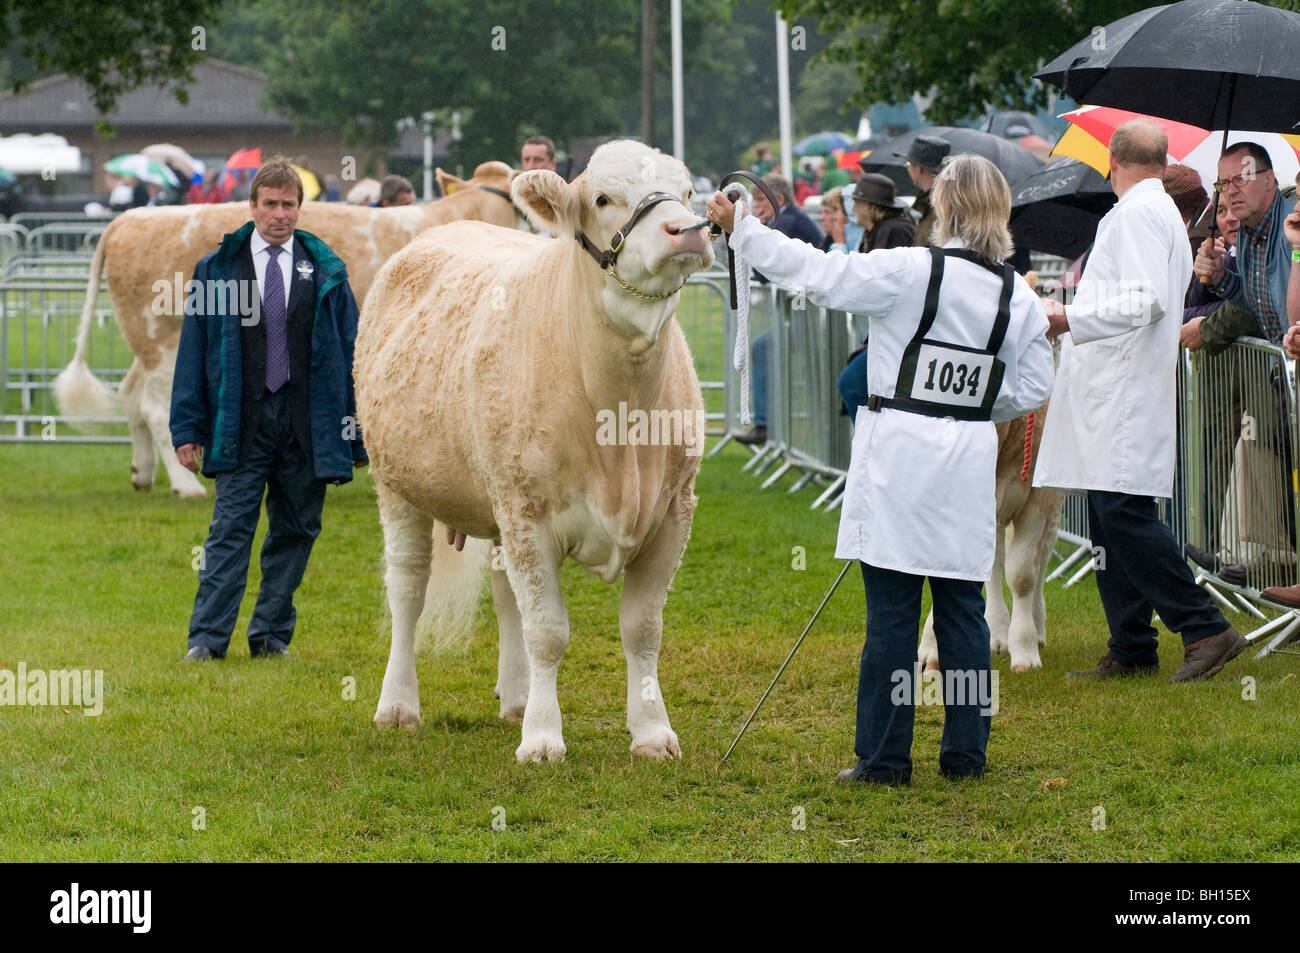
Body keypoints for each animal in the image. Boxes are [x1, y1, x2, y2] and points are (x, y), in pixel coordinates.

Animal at [53, 162, 518, 499]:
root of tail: (128, 219)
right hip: (164, 343)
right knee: (154, 408)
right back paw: (186, 486)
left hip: (145, 342)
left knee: (131, 396)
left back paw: (142, 475)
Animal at [354, 139, 714, 763]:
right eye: (603, 198)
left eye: (688, 191)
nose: (686, 230)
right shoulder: (527, 512)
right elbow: (548, 631)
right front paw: (544, 738)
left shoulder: (673, 511)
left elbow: (642, 629)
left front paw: (651, 731)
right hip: (397, 485)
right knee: (407, 590)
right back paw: (398, 705)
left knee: (505, 599)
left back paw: (517, 698)